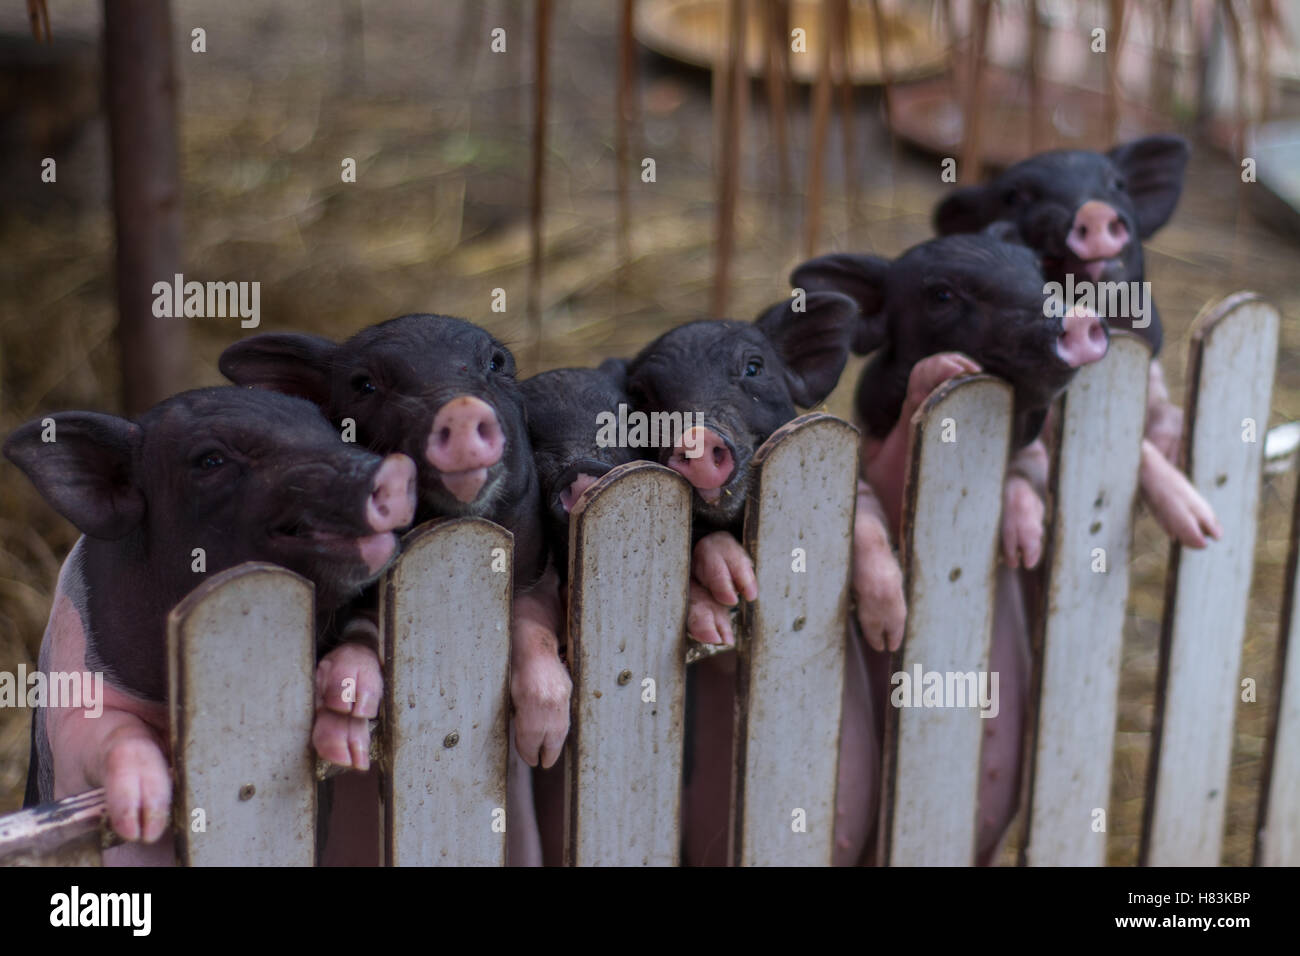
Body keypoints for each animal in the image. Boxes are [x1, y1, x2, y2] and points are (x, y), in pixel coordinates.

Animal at [3, 387, 417, 864]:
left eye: (327, 428)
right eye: (210, 460)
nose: (395, 467)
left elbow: (362, 643)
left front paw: (347, 731)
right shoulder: (72, 708)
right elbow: (114, 732)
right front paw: (143, 814)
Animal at [219, 314, 569, 866]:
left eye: (496, 362)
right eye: (364, 384)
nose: (460, 408)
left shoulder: (541, 568)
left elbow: (531, 621)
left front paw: (544, 745)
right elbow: (359, 633)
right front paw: (344, 720)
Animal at [793, 228, 1112, 862]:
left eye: (1037, 269)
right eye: (941, 294)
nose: (1078, 320)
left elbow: (1021, 484)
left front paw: (1024, 547)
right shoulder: (869, 468)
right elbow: (869, 524)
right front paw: (888, 628)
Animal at [932, 135, 1221, 548]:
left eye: (1117, 184)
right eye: (1015, 196)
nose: (1095, 210)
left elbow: (1162, 414)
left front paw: (1207, 530)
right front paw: (1202, 530)